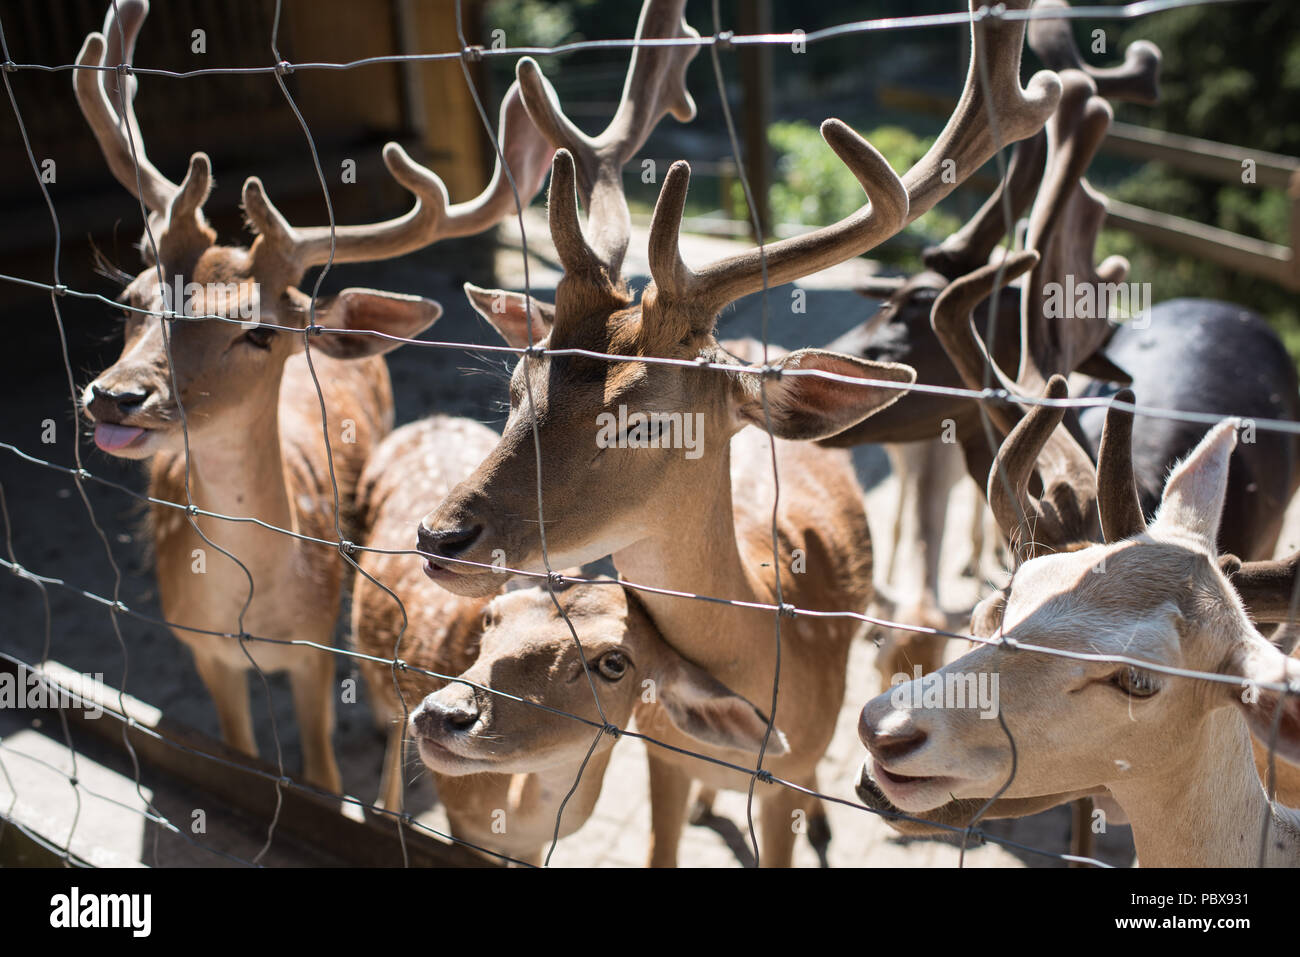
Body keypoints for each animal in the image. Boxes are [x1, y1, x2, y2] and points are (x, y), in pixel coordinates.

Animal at [73, 0, 552, 791]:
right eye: (135, 298)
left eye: (260, 329)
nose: (115, 396)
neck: (252, 611)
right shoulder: (197, 644)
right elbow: (236, 749)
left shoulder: (313, 643)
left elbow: (322, 772)